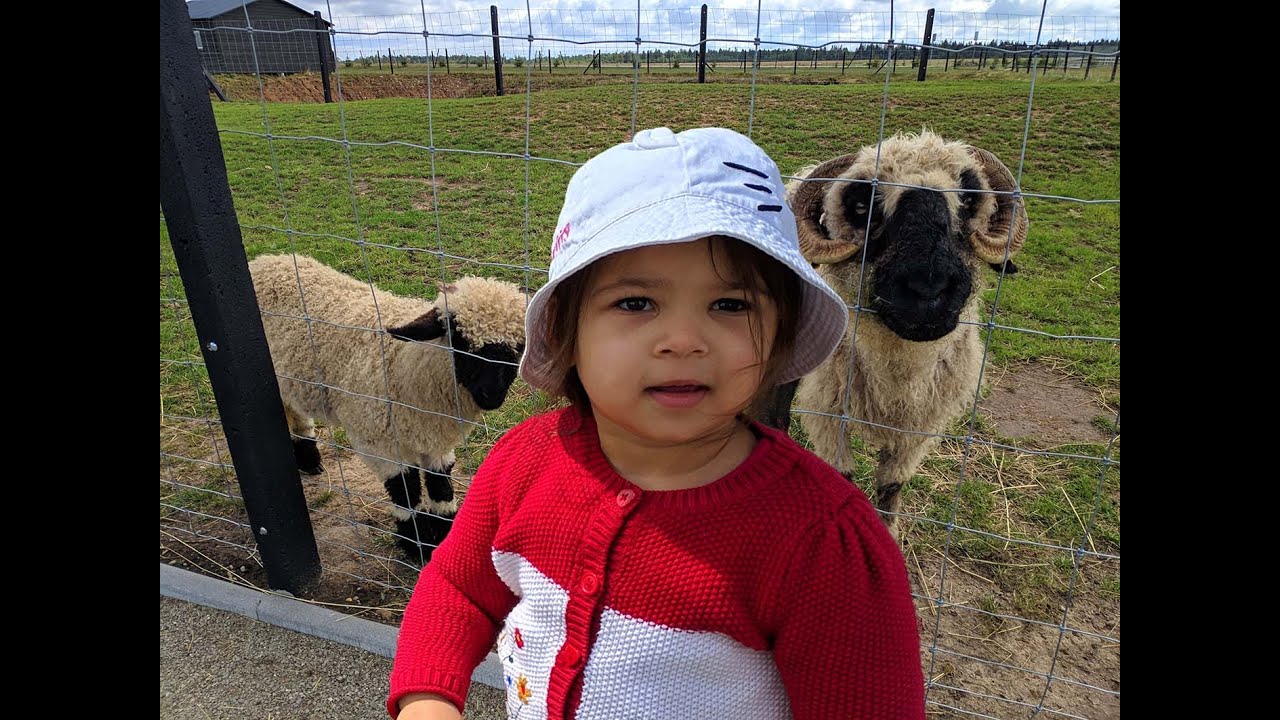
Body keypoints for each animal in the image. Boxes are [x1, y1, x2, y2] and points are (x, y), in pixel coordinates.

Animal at [247, 254, 526, 562]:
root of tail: (268, 260)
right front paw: (417, 544)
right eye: (459, 340)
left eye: (519, 347)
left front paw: (443, 536)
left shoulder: (436, 439)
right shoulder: (380, 441)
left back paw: (309, 460)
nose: (492, 395)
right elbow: (404, 490)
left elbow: (440, 486)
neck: (408, 364)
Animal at [759, 130, 1029, 538]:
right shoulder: (828, 410)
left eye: (968, 198)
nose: (927, 288)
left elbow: (891, 485)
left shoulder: (921, 424)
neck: (900, 371)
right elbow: (844, 477)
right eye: (861, 204)